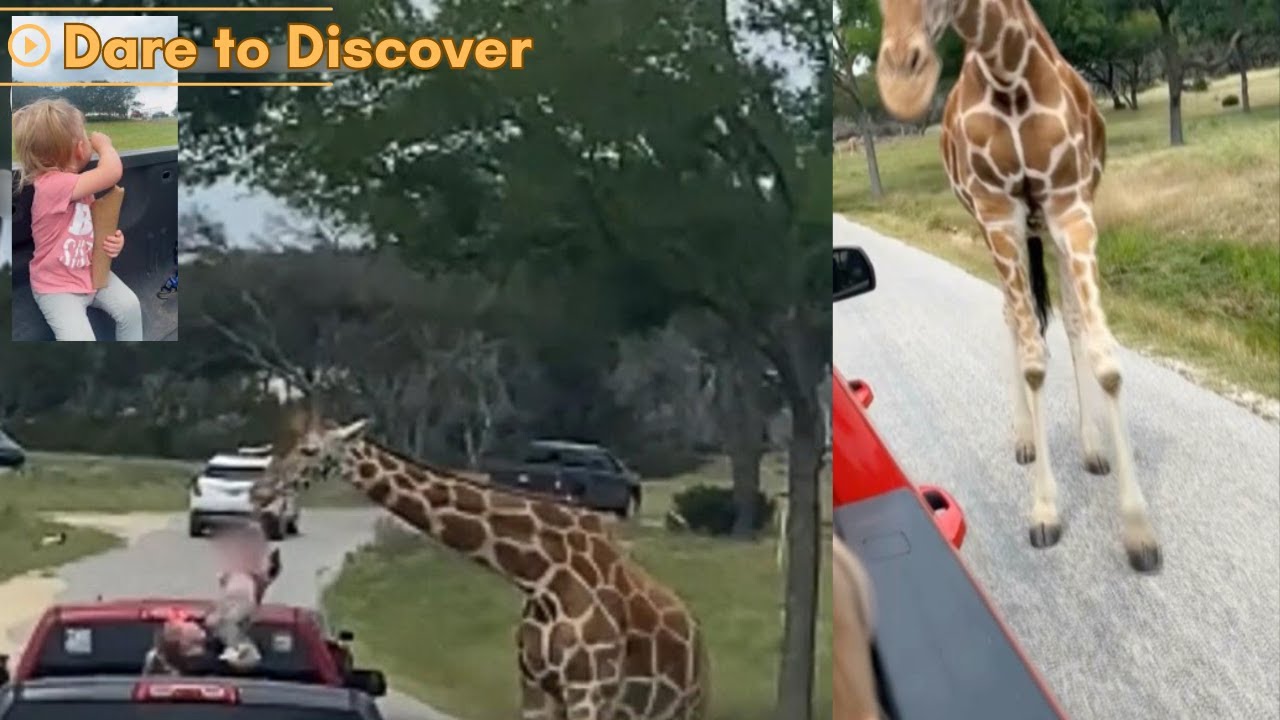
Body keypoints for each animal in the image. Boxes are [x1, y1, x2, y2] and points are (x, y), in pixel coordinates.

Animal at [251, 407, 710, 720]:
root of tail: (699, 644)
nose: (259, 490)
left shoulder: (590, 688)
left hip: (678, 709)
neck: (541, 574)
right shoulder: (537, 686)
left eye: (310, 450)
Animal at [871, 0, 1162, 573]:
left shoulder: (1069, 206)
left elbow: (1105, 357)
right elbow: (1032, 362)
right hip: (997, 229)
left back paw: (1091, 448)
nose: (901, 82)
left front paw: (1139, 533)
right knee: (1012, 317)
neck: (1008, 72)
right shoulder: (997, 214)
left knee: (1065, 320)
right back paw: (1025, 439)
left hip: (1043, 227)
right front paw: (1045, 511)